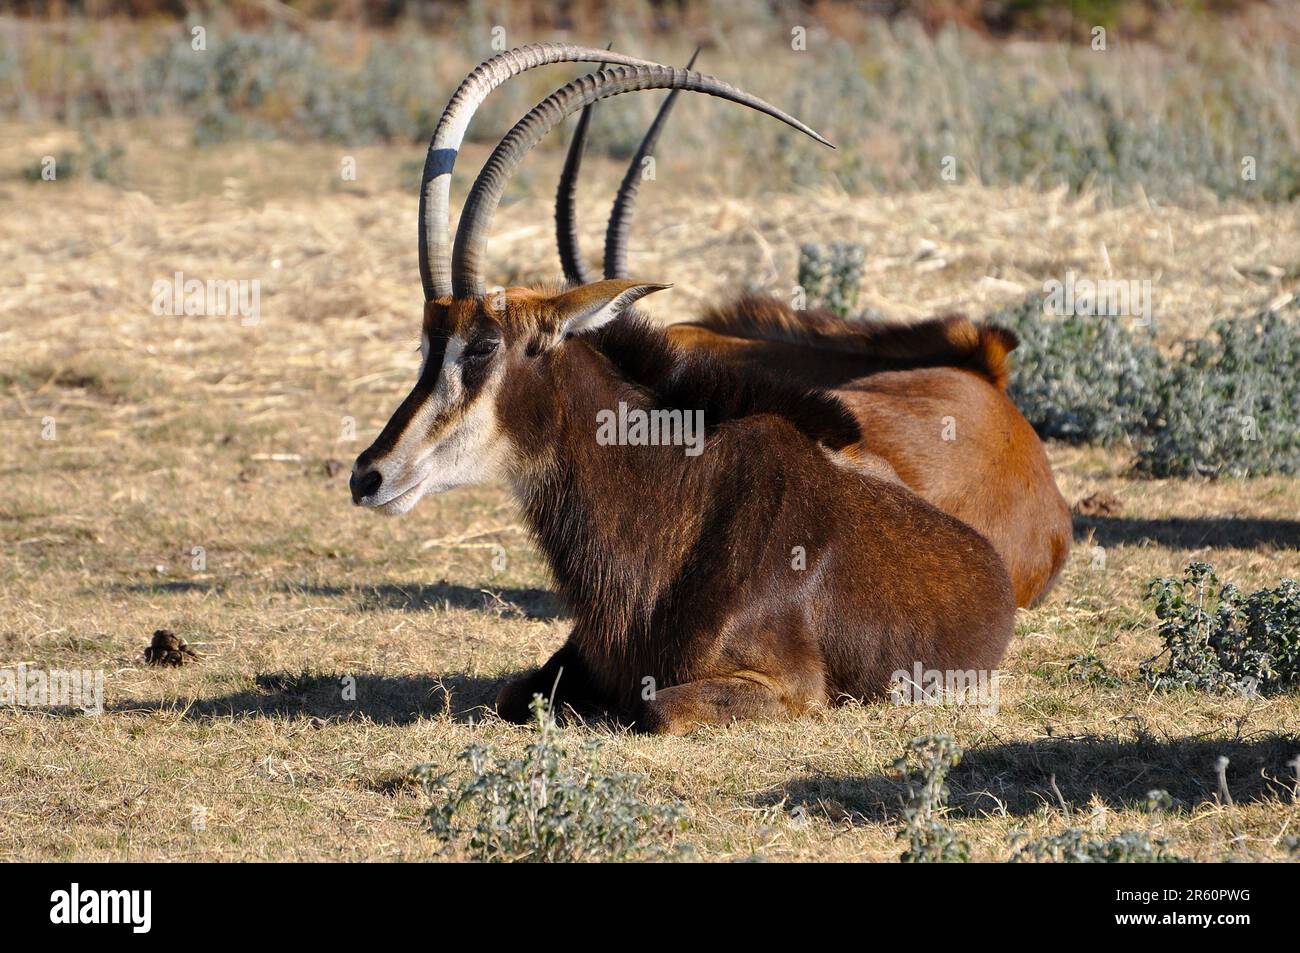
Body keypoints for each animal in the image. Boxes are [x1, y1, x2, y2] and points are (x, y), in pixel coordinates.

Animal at [350, 44, 1016, 734]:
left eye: (482, 346)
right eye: (426, 346)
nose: (368, 476)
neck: (677, 496)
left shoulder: (790, 690)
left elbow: (654, 707)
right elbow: (514, 693)